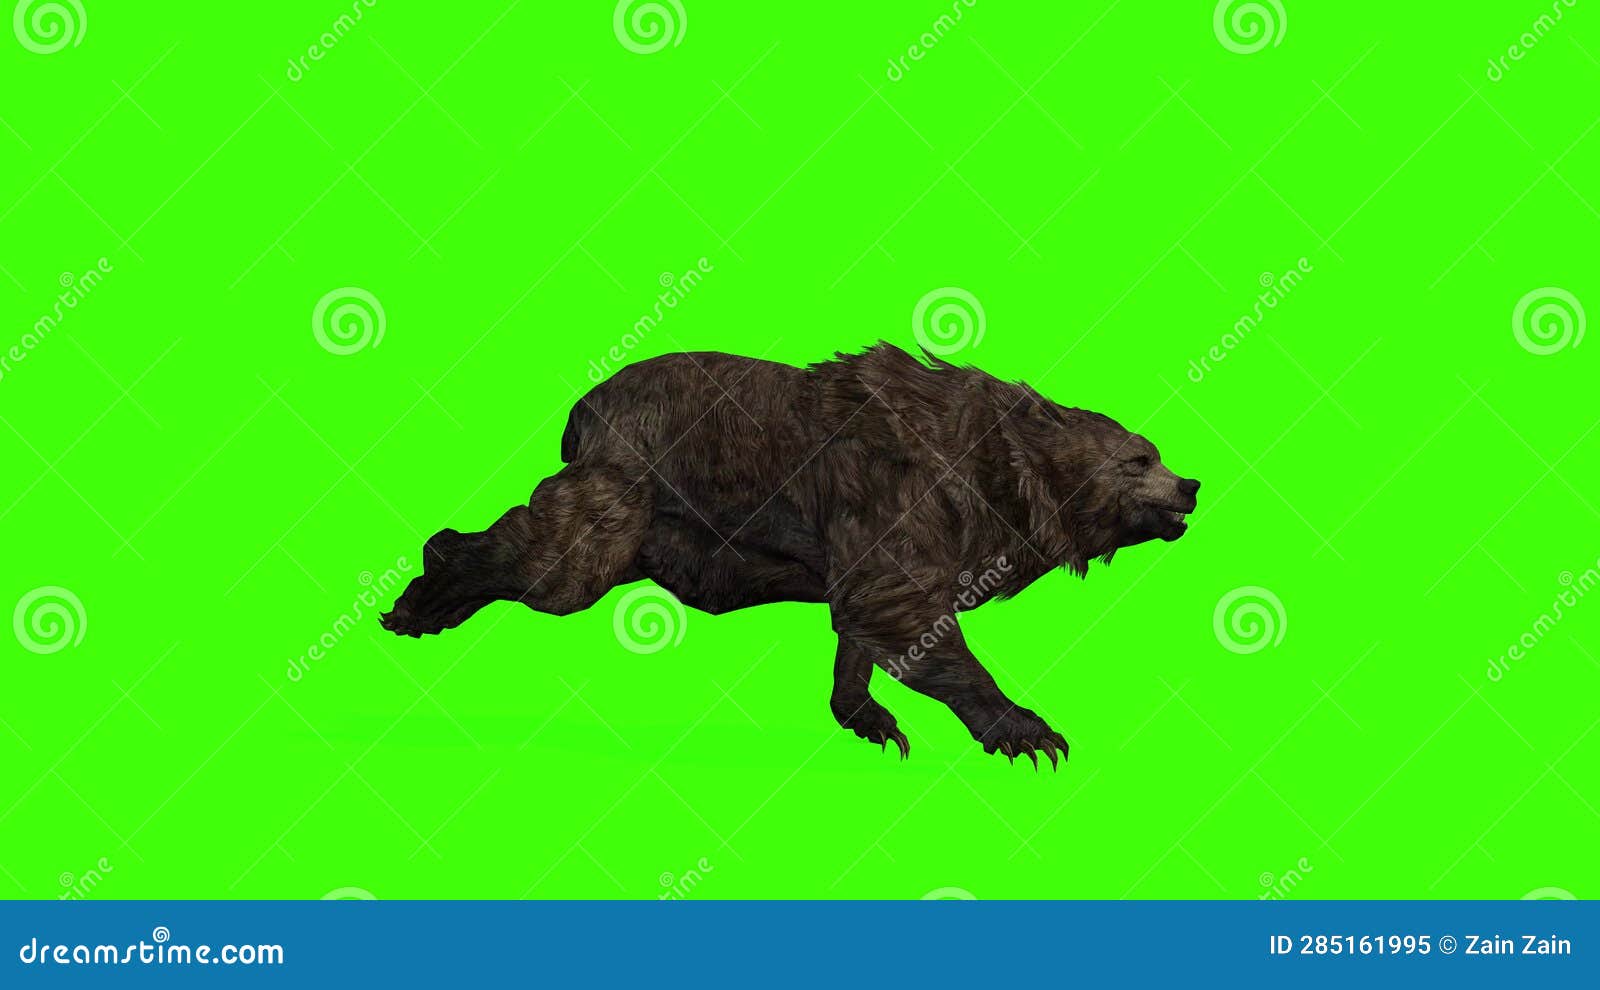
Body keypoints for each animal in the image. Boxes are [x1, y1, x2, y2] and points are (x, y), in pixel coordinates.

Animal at [380, 343, 1200, 767]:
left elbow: (865, 622)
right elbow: (904, 612)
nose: (1190, 485)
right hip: (637, 475)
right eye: (1139, 458)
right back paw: (425, 596)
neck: (998, 481)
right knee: (563, 561)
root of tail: (584, 405)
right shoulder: (897, 493)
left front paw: (868, 715)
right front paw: (1027, 731)